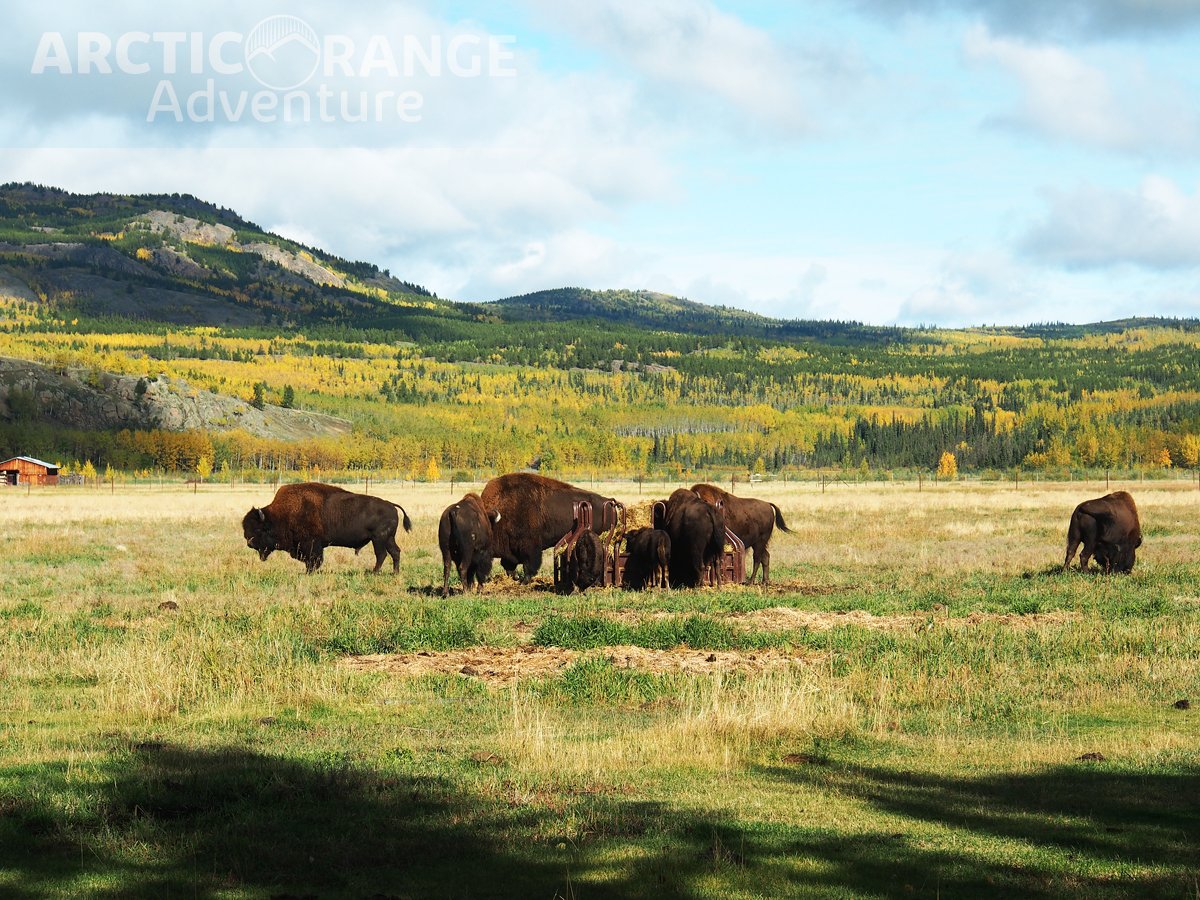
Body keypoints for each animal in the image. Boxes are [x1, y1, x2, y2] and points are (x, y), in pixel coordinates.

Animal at [242, 482, 412, 574]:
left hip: (379, 539)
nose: (249, 543)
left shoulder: (311, 545)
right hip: (388, 539)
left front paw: (309, 573)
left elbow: (313, 561)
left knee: (381, 554)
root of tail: (392, 505)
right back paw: (395, 573)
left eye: (259, 530)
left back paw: (374, 572)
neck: (281, 515)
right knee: (395, 552)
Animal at [480, 473, 619, 581]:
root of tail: (610, 502)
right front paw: (515, 578)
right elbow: (509, 566)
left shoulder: (530, 547)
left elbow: (528, 565)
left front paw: (525, 580)